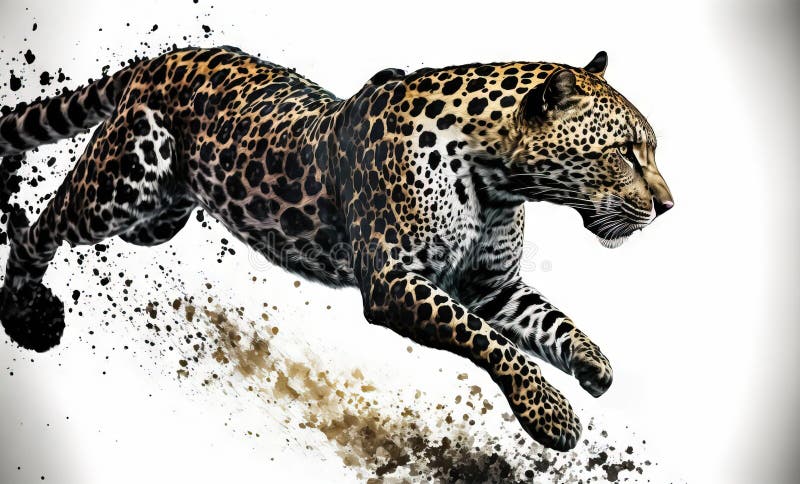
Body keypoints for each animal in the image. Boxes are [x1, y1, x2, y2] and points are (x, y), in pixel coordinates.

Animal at [0, 46, 673, 451]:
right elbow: (490, 342)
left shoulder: (493, 286)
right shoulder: (395, 279)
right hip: (120, 190)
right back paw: (26, 311)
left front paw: (593, 365)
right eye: (625, 152)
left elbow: (551, 323)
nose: (668, 206)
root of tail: (161, 58)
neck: (498, 179)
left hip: (161, 216)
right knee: (42, 227)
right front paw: (551, 414)